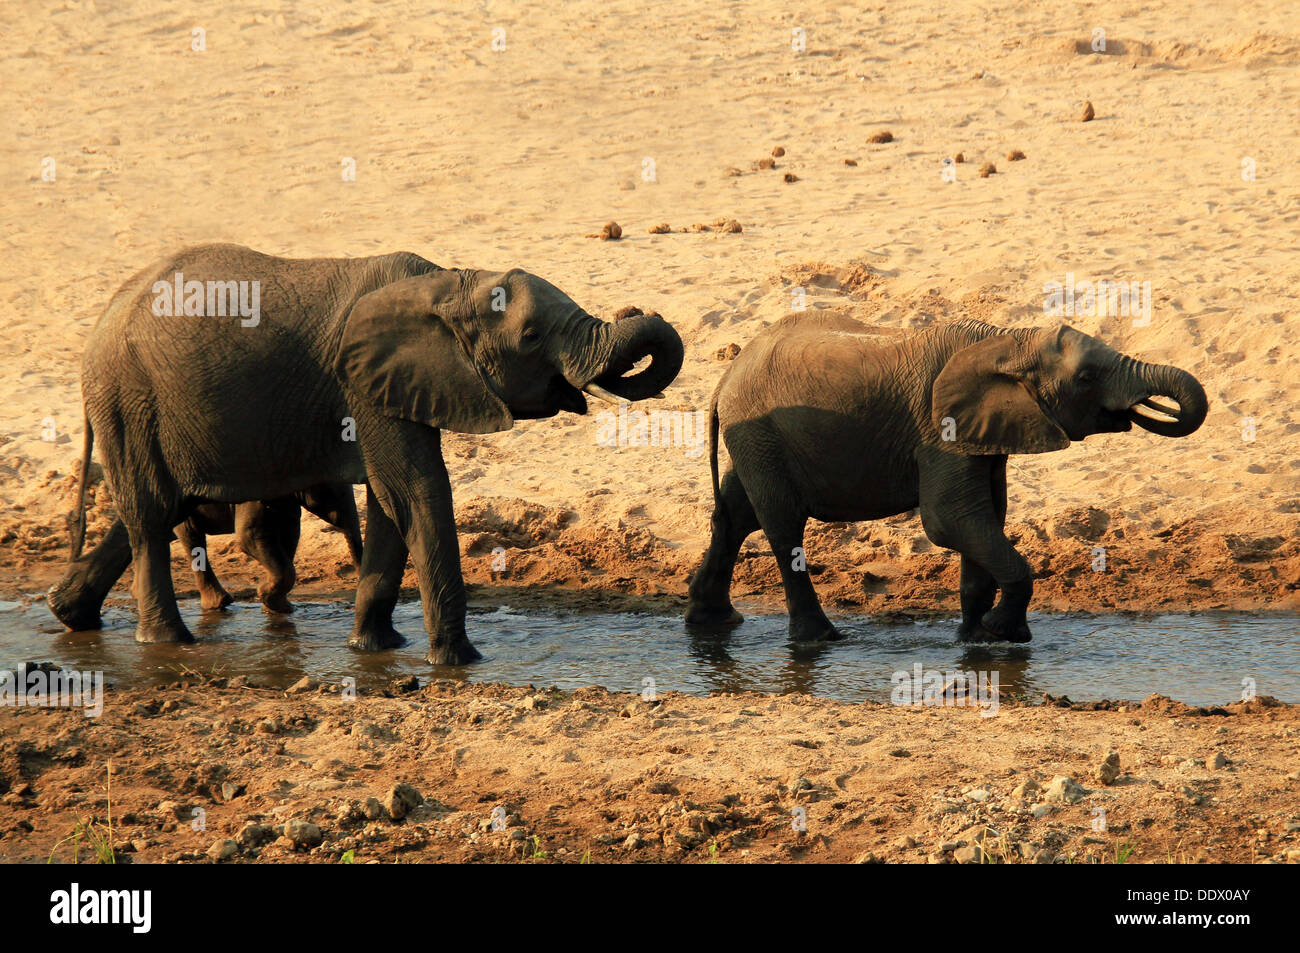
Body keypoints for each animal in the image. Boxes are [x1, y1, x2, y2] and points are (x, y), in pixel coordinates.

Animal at [176, 483, 364, 613]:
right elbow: (248, 537)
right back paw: (218, 604)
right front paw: (268, 597)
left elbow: (290, 534)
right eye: (332, 491)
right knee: (191, 535)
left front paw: (276, 608)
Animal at [685, 313, 1207, 644]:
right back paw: (821, 640)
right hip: (760, 431)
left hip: (757, 437)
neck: (1007, 340)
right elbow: (949, 519)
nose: (1142, 407)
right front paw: (1004, 633)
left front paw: (976, 640)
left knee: (735, 517)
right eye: (1086, 378)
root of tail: (726, 376)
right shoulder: (939, 428)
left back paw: (713, 623)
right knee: (781, 525)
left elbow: (987, 516)